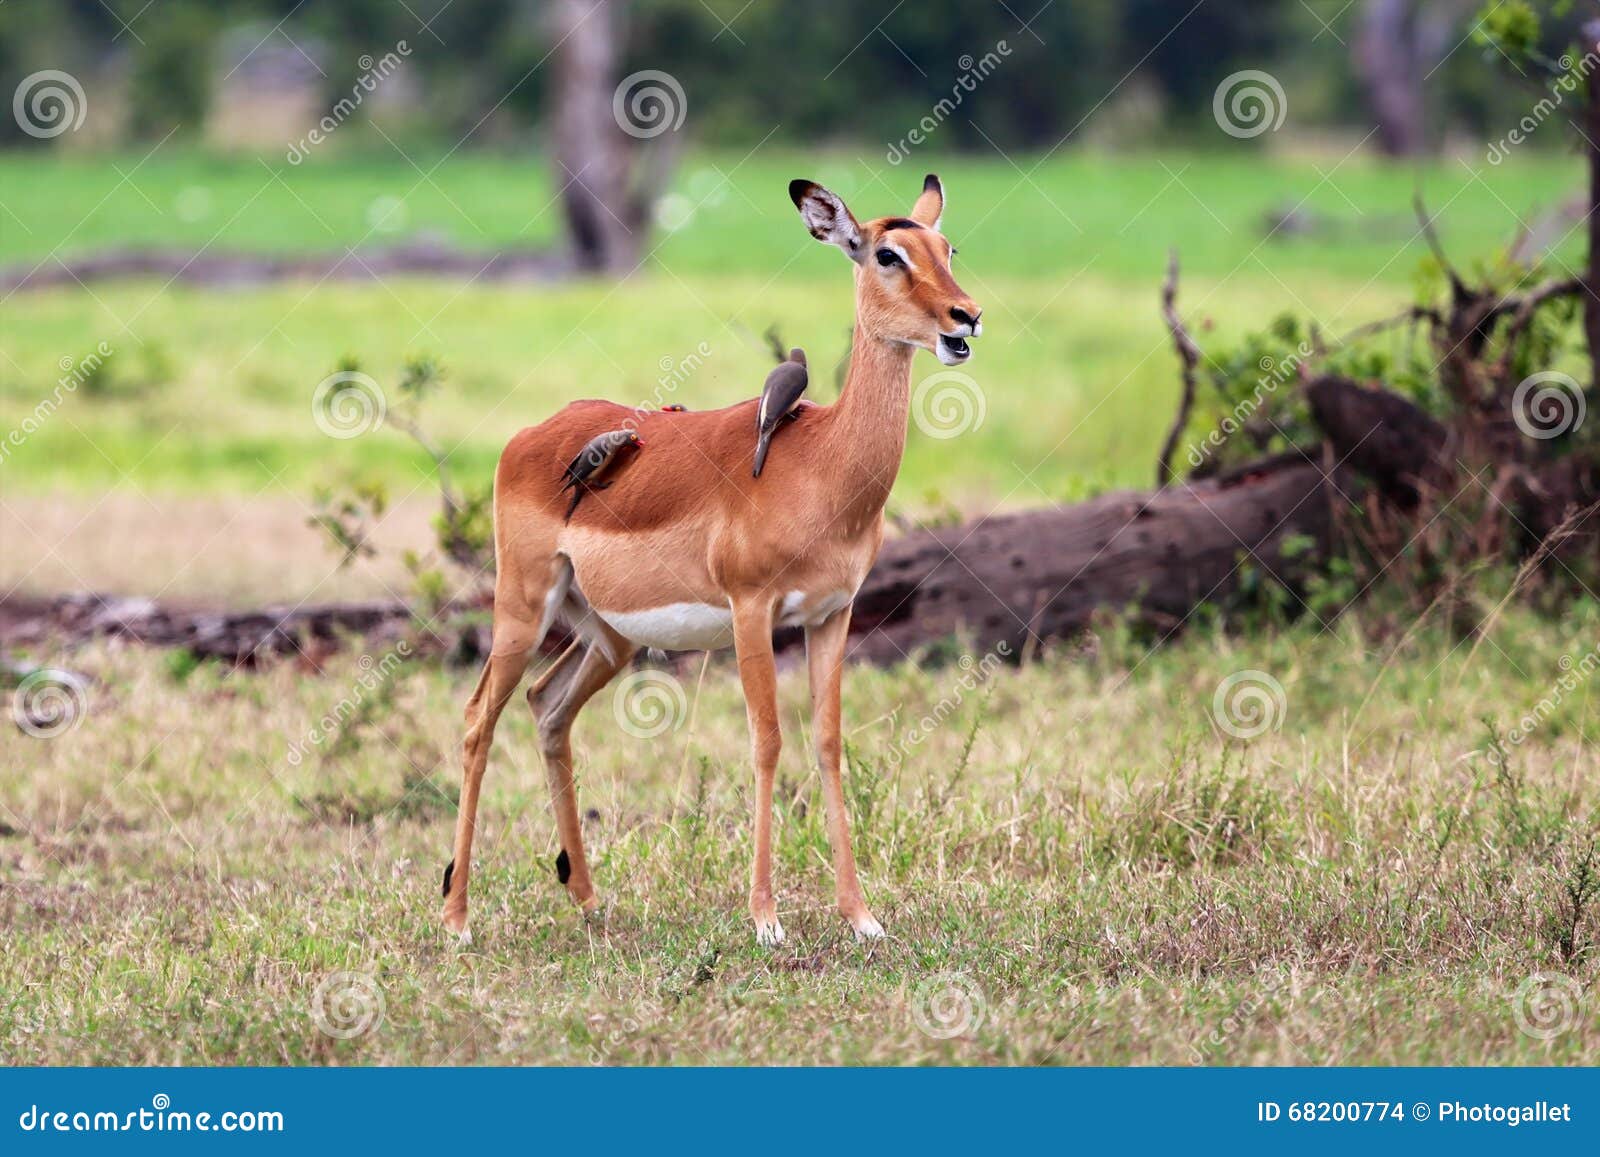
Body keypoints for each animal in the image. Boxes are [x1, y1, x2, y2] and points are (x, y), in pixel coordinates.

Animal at [441, 173, 982, 945]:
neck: (821, 465)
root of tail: (530, 434)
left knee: (547, 706)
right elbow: (767, 741)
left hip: (608, 635)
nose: (965, 319)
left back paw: (589, 899)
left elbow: (827, 741)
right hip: (522, 605)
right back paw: (457, 917)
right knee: (477, 717)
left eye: (947, 248)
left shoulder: (833, 614)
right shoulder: (752, 608)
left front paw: (861, 916)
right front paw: (766, 919)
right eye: (886, 253)